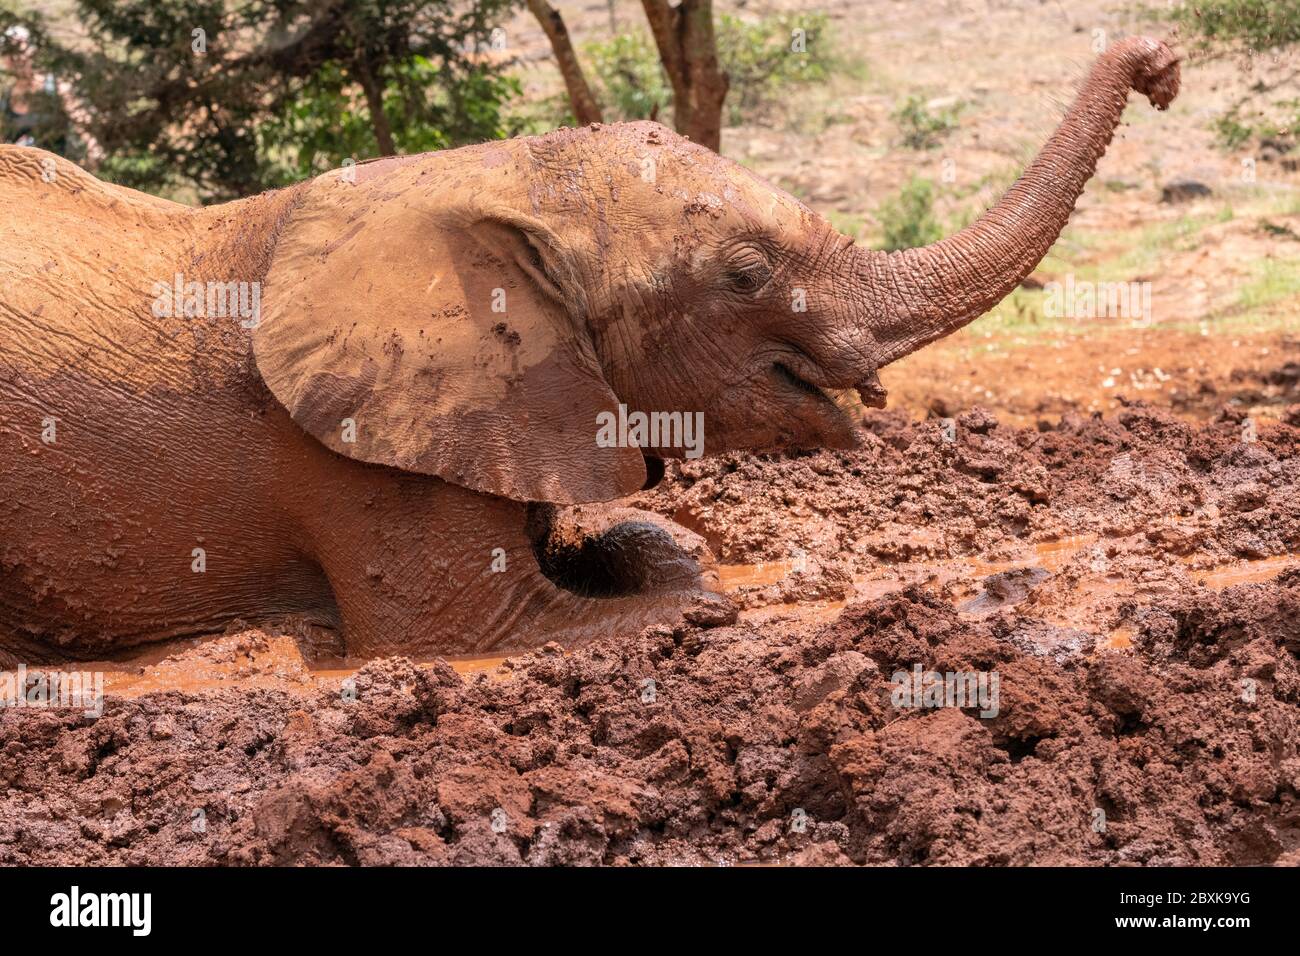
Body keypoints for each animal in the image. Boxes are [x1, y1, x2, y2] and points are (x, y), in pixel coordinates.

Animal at [0, 37, 1180, 662]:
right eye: (745, 275)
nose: (1159, 66)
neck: (498, 172)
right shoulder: (359, 456)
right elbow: (479, 629)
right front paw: (695, 603)